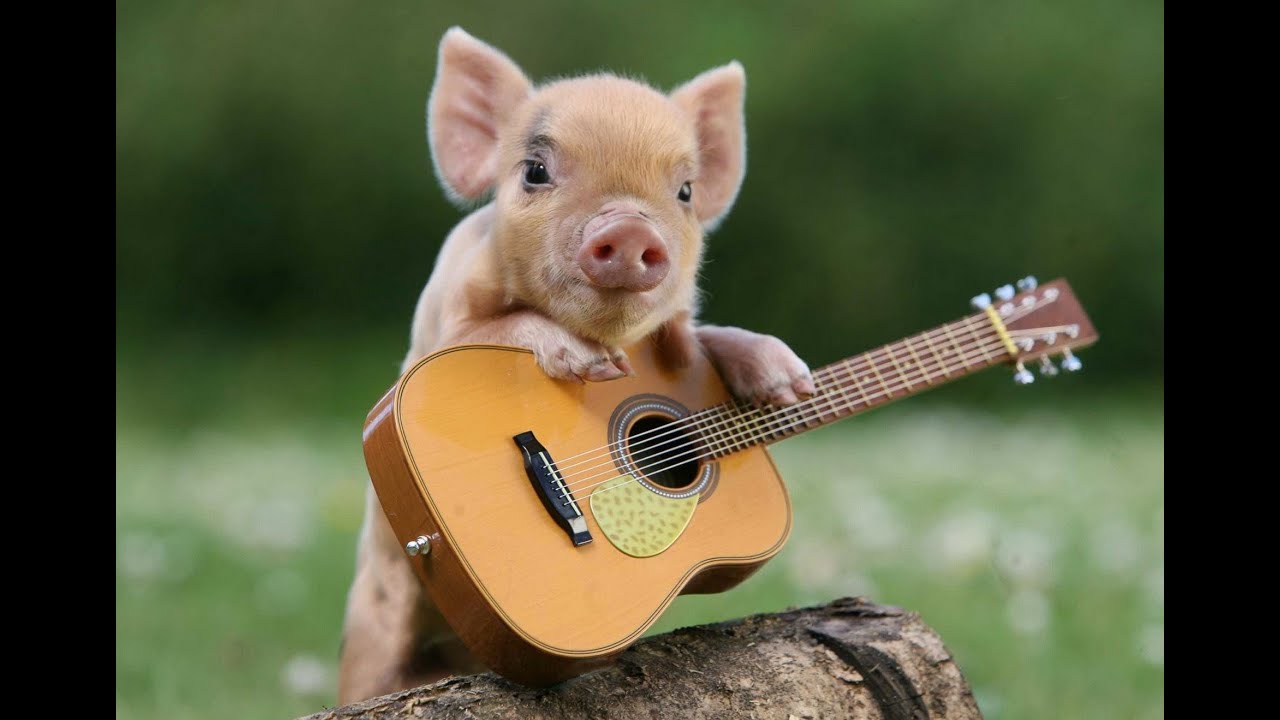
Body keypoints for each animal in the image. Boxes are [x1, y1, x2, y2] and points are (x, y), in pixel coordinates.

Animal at [338, 27, 816, 703]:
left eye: (686, 192)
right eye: (535, 171)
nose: (631, 227)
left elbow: (701, 337)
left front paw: (788, 380)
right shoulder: (438, 329)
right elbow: (501, 328)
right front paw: (589, 363)